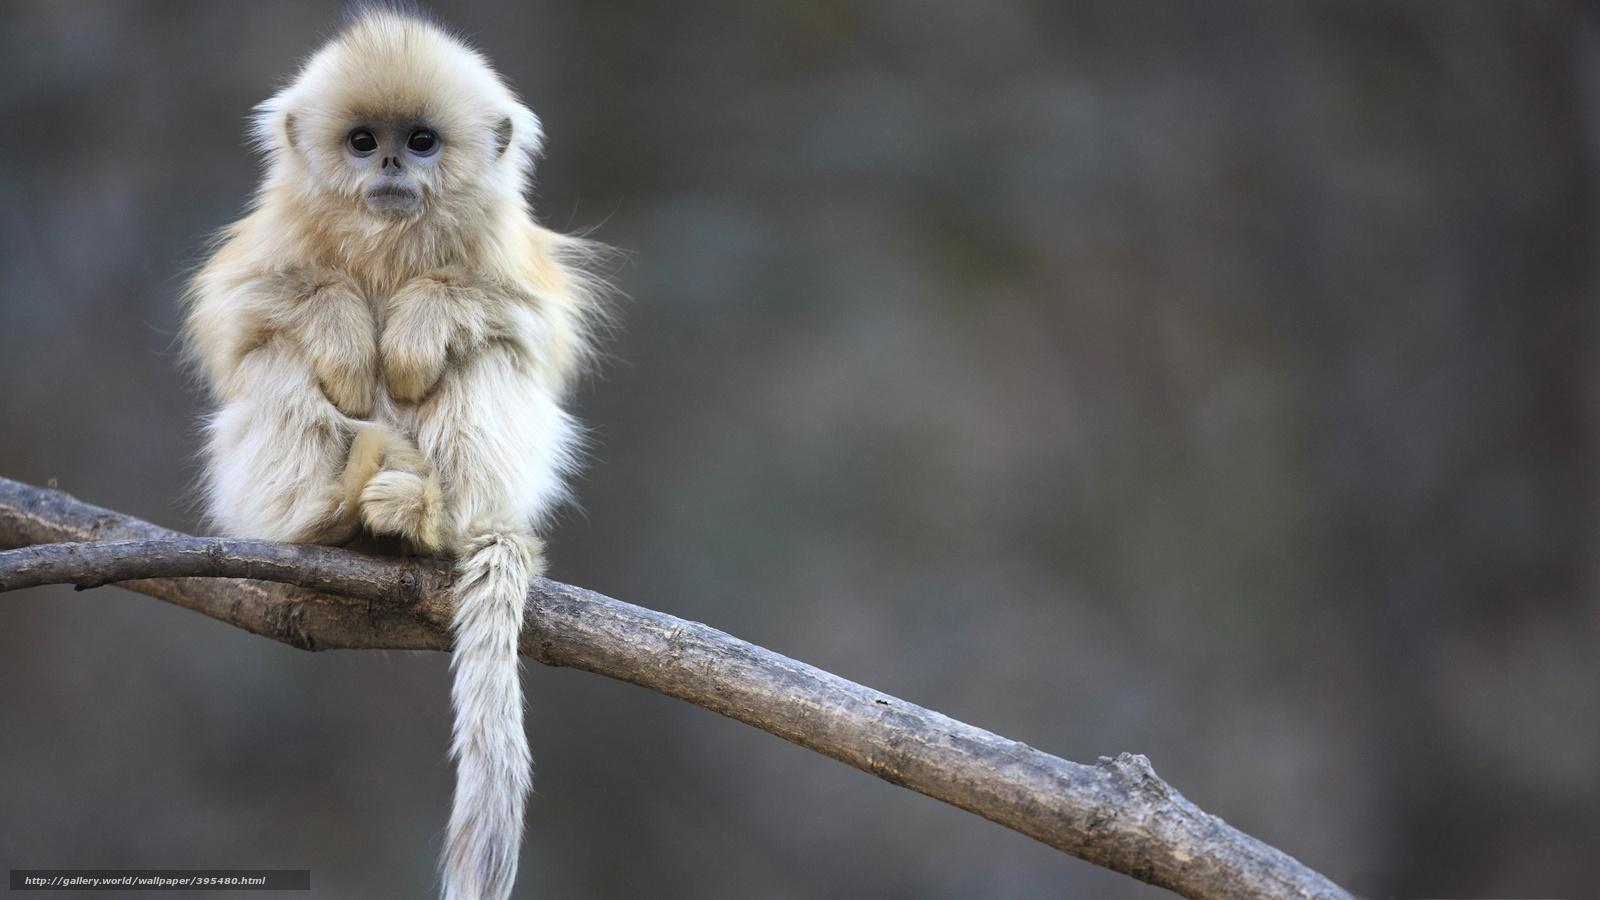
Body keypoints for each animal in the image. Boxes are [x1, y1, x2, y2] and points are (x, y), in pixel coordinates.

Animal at [181, 8, 605, 899]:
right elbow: (245, 314)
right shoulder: (267, 246)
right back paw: (327, 515)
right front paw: (346, 335)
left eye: (421, 141)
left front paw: (414, 331)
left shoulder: (510, 260)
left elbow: (523, 323)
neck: (387, 236)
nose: (387, 165)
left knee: (487, 357)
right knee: (278, 359)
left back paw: (426, 518)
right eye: (360, 140)